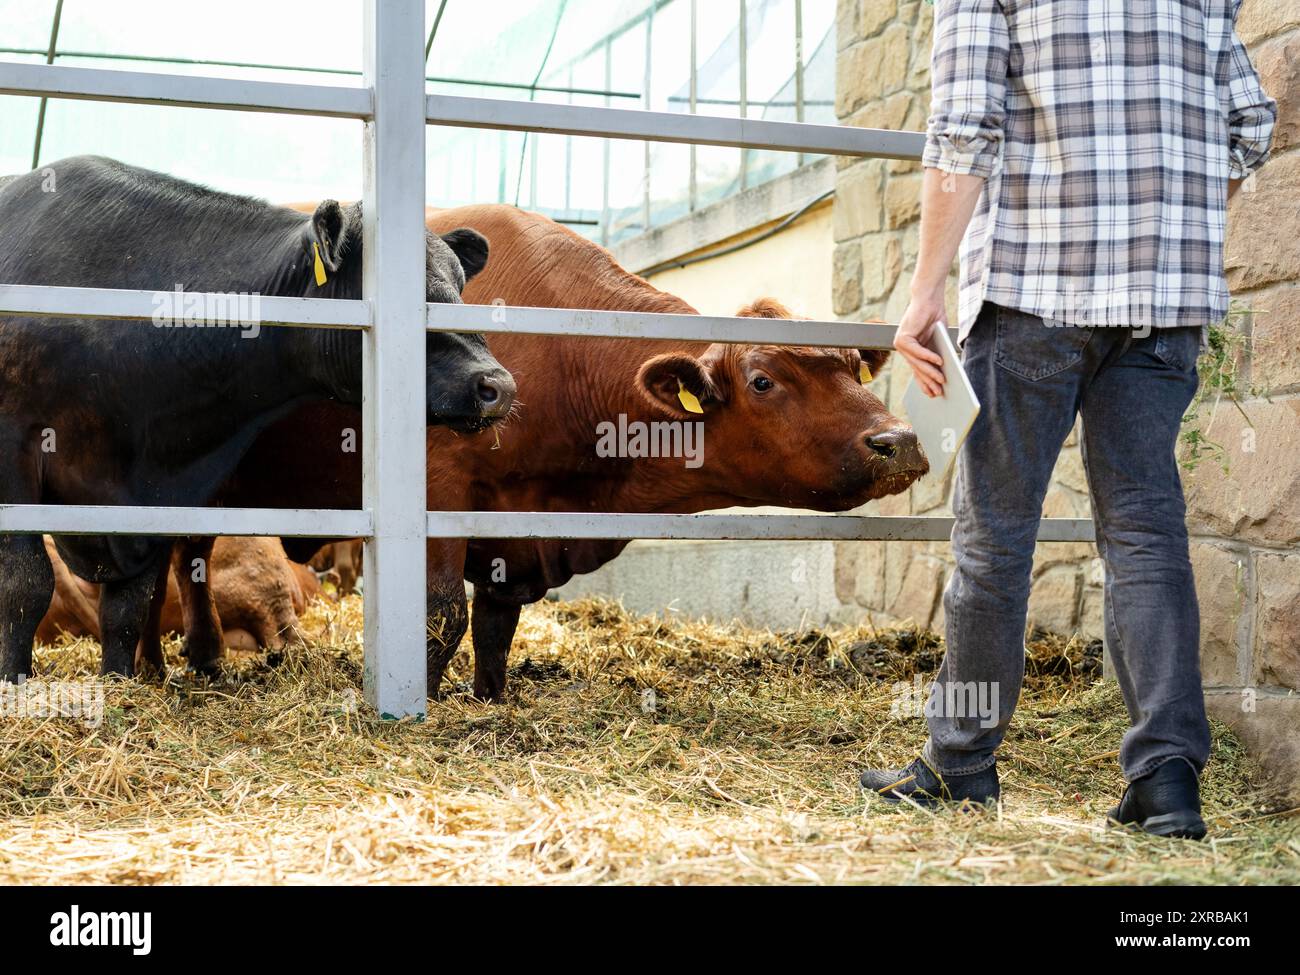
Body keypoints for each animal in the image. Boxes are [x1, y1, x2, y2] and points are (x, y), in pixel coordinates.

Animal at [0, 156, 514, 682]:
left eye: (459, 286)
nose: (497, 386)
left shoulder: (152, 492)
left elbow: (128, 606)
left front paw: (119, 681)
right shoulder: (14, 447)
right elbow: (26, 583)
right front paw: (14, 677)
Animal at [153, 203, 927, 698]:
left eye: (853, 368)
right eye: (764, 380)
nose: (900, 441)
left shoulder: (517, 530)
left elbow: (497, 626)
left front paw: (490, 699)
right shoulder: (440, 492)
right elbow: (442, 617)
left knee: (188, 548)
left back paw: (201, 657)